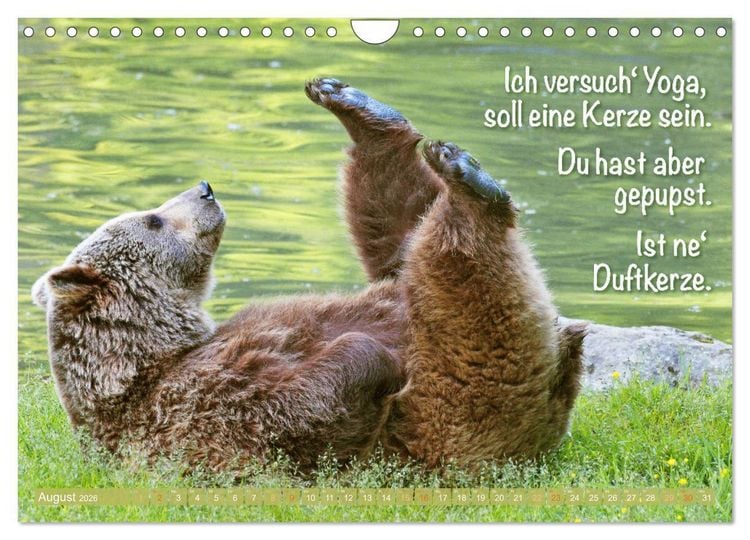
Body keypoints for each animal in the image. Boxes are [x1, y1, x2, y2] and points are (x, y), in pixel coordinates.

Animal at [32, 78, 586, 473]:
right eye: (153, 219)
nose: (206, 188)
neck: (151, 355)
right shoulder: (192, 407)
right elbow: (298, 407)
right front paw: (372, 353)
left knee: (399, 231)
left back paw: (364, 112)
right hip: (458, 402)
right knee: (455, 272)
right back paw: (470, 185)